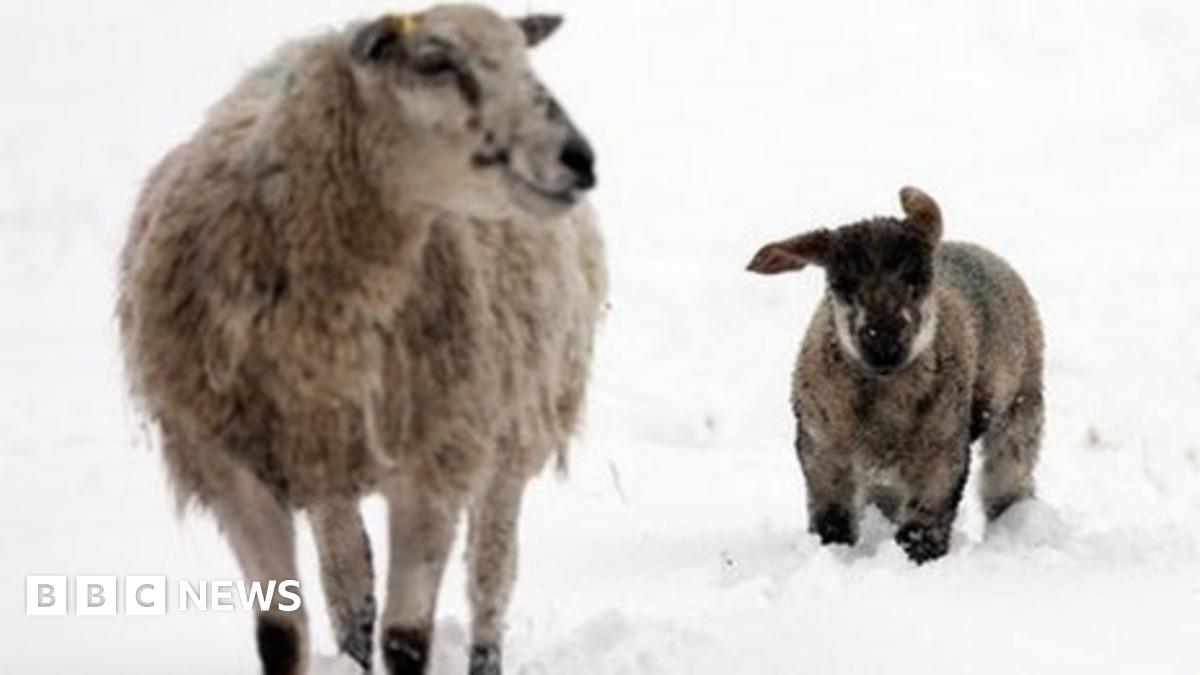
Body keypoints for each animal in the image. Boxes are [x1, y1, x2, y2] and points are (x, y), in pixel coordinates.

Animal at [117, 6, 605, 675]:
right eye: (435, 62)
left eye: (523, 58)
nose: (580, 157)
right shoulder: (232, 469)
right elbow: (282, 635)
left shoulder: (433, 464)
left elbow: (407, 640)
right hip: (327, 465)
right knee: (349, 580)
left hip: (515, 424)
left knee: (491, 573)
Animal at [747, 187, 1043, 563]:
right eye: (842, 285)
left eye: (918, 280)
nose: (884, 346)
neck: (880, 404)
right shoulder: (822, 453)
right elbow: (832, 522)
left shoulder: (943, 452)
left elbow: (923, 523)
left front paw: (916, 559)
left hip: (1021, 407)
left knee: (1007, 483)